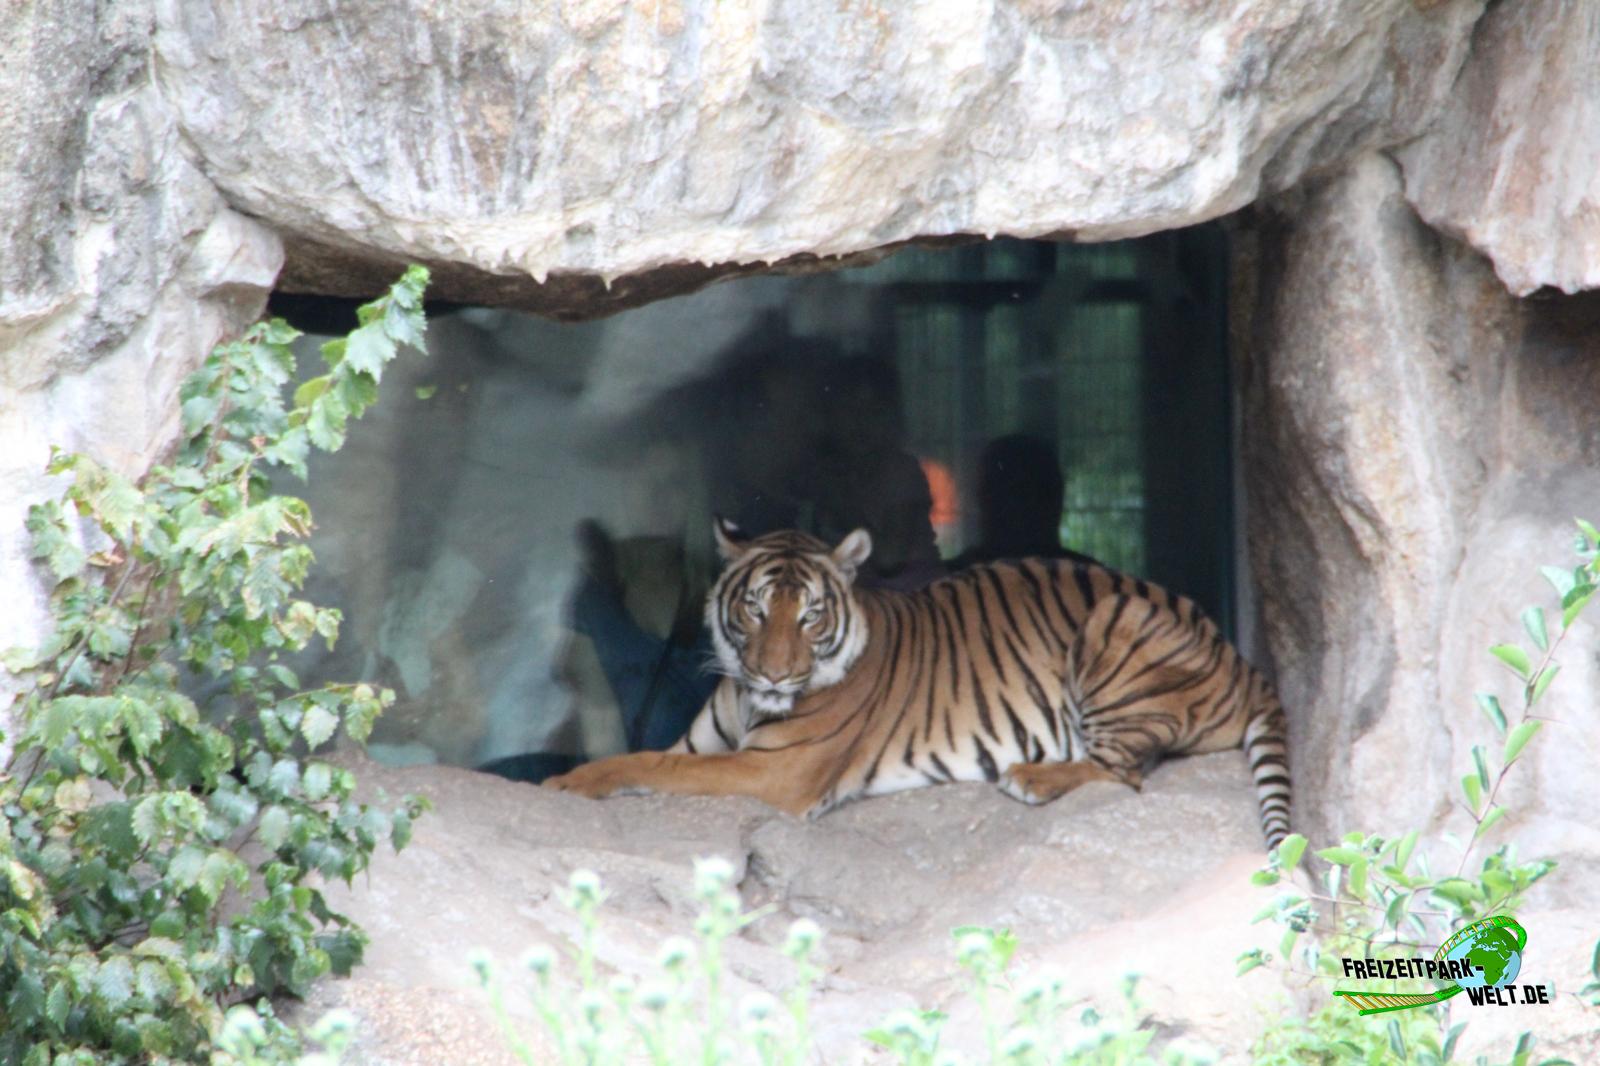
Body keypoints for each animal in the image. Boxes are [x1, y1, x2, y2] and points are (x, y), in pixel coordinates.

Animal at [544, 519, 1291, 849]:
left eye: (810, 615)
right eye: (754, 608)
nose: (775, 673)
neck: (749, 697)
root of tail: (1239, 655)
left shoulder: (772, 772)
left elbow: (646, 765)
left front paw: (564, 783)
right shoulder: (705, 745)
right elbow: (650, 756)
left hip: (1117, 619)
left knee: (1124, 771)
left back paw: (1030, 777)